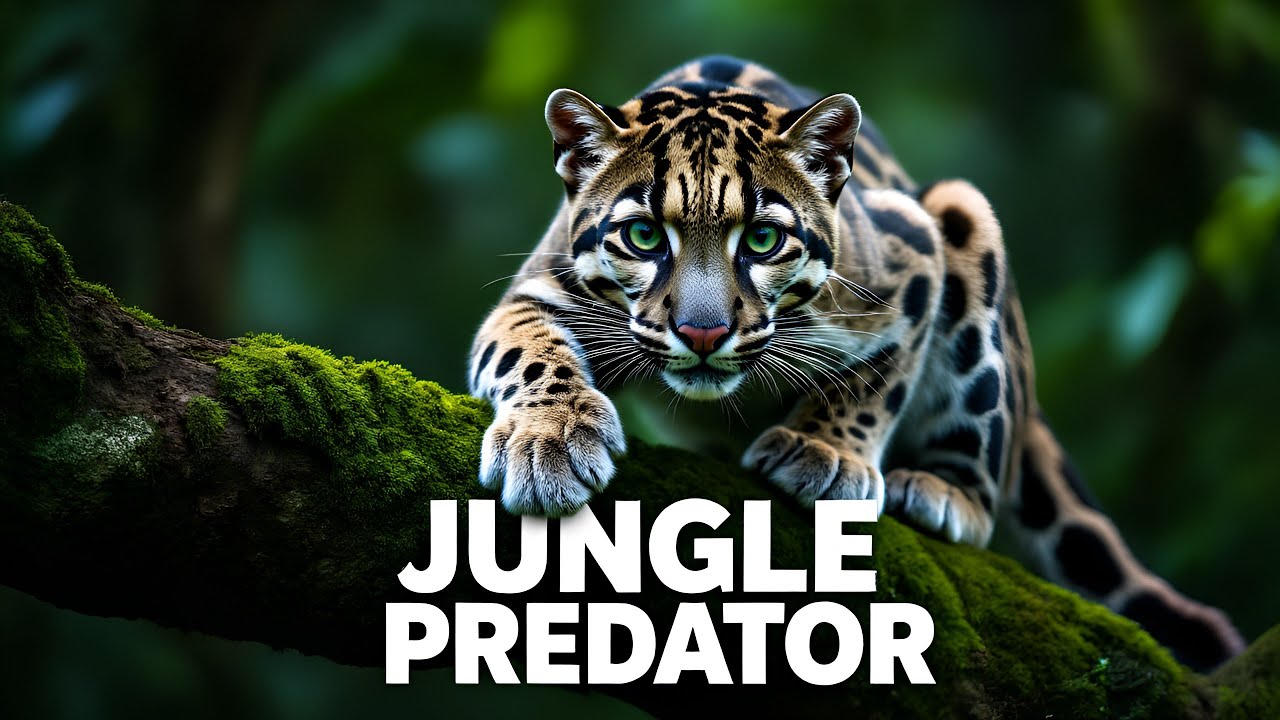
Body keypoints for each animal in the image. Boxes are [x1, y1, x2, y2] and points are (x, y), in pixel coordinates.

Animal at [467, 55, 1245, 670]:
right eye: (642, 236)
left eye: (762, 240)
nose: (703, 332)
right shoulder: (534, 290)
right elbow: (527, 350)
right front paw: (550, 442)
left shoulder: (914, 249)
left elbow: (877, 376)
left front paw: (826, 452)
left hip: (964, 224)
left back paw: (941, 491)